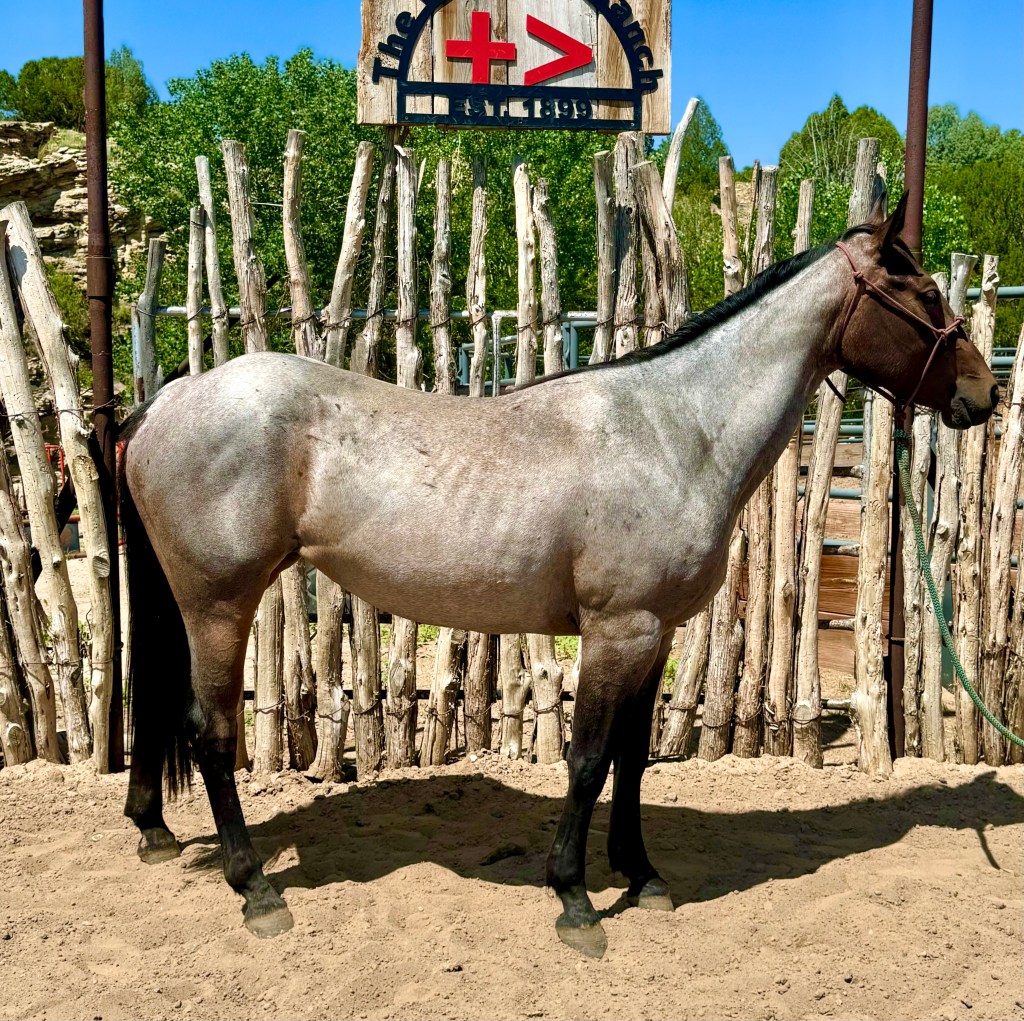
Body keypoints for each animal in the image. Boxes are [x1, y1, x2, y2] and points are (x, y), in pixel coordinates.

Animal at [119, 193, 996, 957]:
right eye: (921, 292)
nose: (984, 393)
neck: (674, 429)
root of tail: (171, 397)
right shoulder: (619, 629)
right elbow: (588, 758)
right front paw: (575, 897)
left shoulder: (654, 633)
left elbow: (633, 757)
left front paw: (642, 876)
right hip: (218, 604)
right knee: (211, 730)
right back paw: (255, 888)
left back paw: (153, 828)